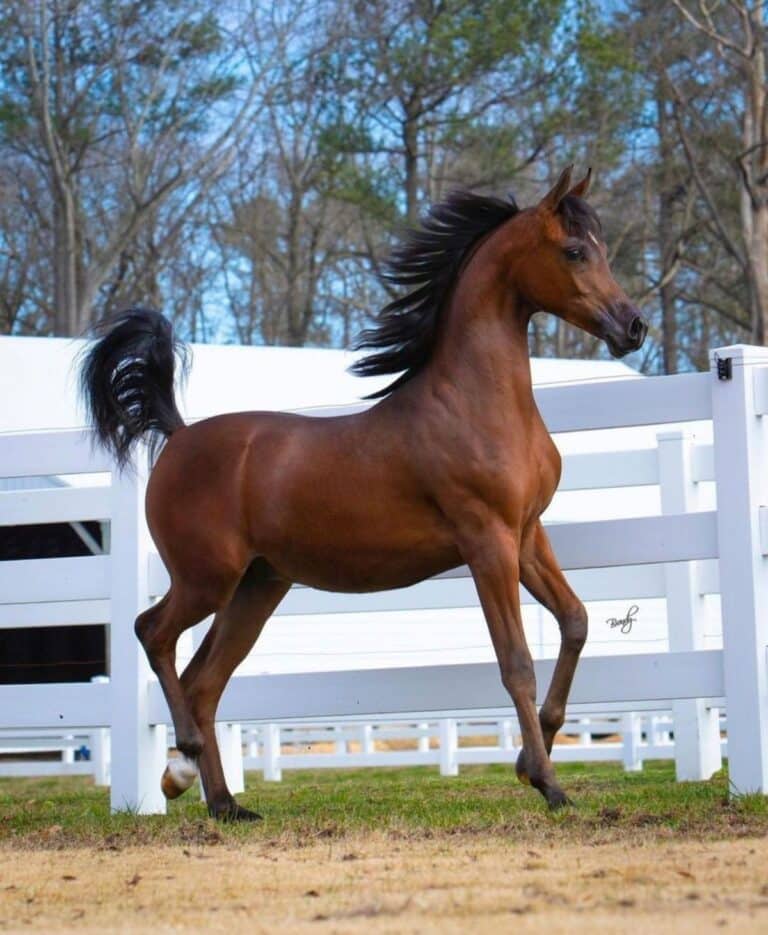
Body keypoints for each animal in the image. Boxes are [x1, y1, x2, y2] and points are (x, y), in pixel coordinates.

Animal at [80, 166, 647, 821]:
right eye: (575, 251)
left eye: (602, 247)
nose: (633, 327)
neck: (475, 403)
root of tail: (178, 434)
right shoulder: (488, 543)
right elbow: (516, 664)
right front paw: (550, 785)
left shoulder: (527, 536)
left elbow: (575, 622)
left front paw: (533, 759)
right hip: (206, 579)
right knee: (153, 633)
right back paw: (182, 764)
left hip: (257, 587)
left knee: (204, 681)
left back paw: (223, 802)